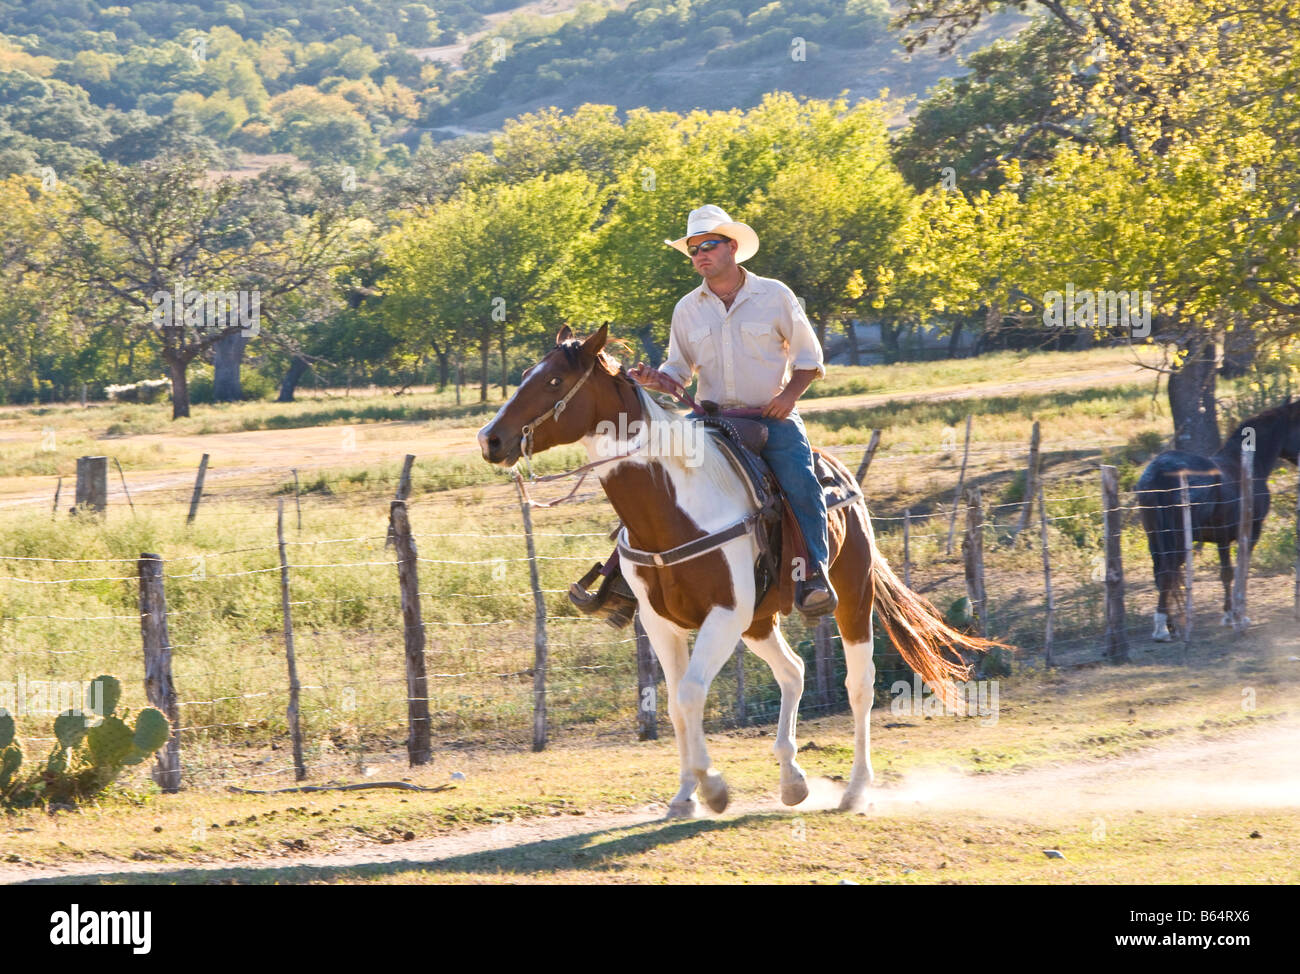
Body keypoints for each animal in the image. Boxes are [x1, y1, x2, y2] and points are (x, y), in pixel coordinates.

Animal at [478, 323, 1002, 815]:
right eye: (525, 374)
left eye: (554, 380)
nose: (490, 439)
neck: (673, 506)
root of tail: (841, 476)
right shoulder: (663, 623)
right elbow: (675, 704)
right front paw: (685, 794)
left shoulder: (724, 614)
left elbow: (690, 695)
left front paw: (712, 788)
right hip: (758, 620)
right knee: (793, 672)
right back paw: (792, 780)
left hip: (850, 596)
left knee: (859, 685)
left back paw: (855, 790)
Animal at [1137, 398, 1300, 641]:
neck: (1244, 465)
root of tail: (1158, 474)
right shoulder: (1247, 534)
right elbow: (1238, 572)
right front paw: (1237, 617)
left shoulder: (1221, 538)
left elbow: (1227, 574)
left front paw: (1230, 615)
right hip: (1176, 541)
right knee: (1167, 574)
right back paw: (1161, 630)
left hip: (1155, 538)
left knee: (1160, 575)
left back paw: (1170, 625)